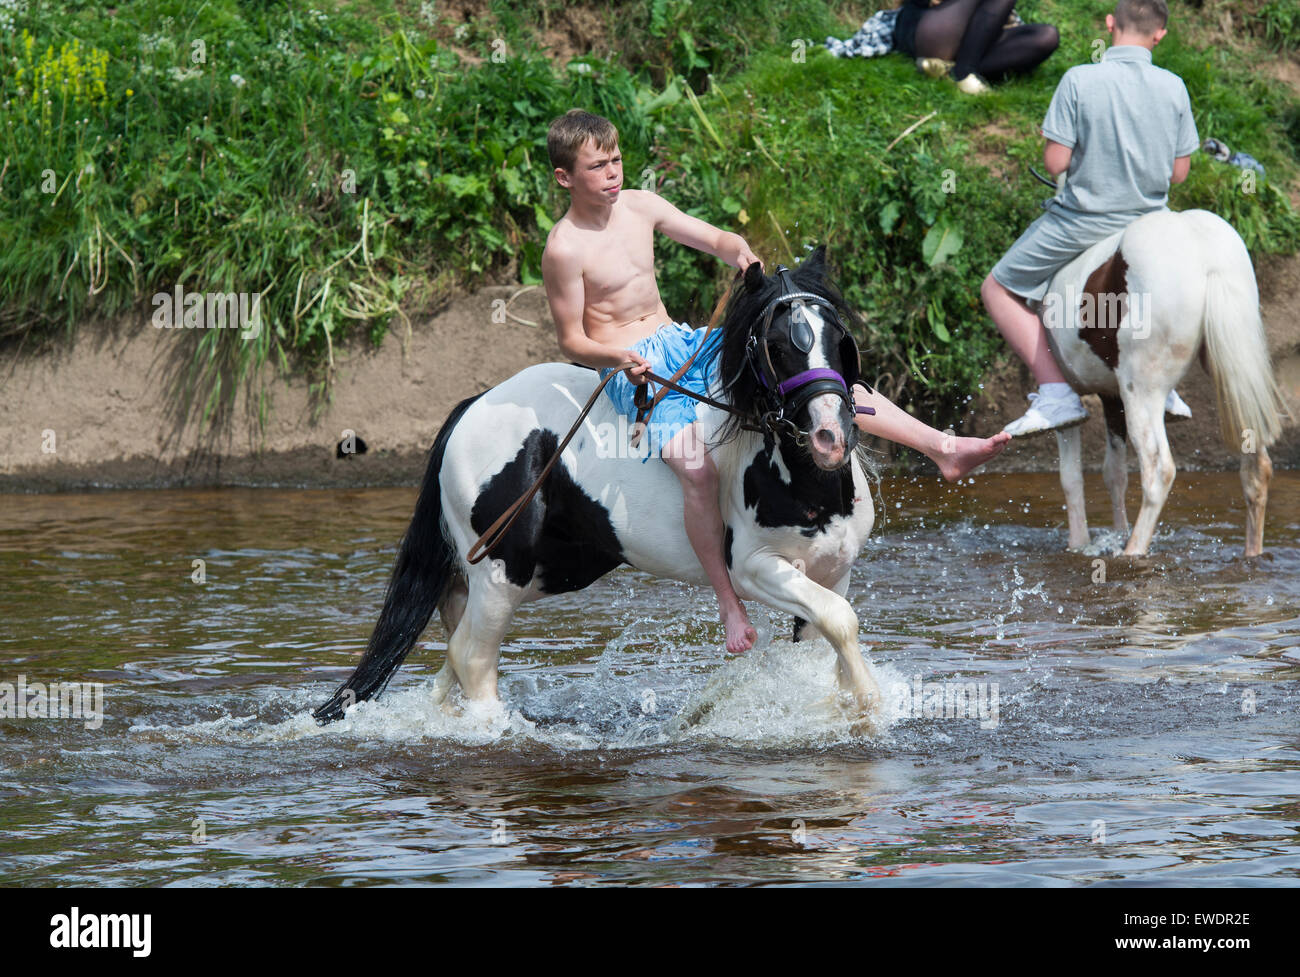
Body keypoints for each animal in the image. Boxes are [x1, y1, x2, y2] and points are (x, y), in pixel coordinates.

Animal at [313, 246, 884, 727]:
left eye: (838, 338)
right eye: (775, 346)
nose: (830, 435)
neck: (811, 488)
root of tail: (472, 407)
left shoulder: (832, 571)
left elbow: (823, 641)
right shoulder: (755, 568)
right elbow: (842, 621)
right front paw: (871, 706)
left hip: (547, 567)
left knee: (454, 632)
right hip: (503, 569)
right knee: (471, 655)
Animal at [1037, 208, 1289, 556]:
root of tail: (1206, 251)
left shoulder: (1077, 400)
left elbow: (1071, 477)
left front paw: (1080, 545)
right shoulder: (1111, 396)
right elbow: (1114, 474)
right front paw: (1115, 533)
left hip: (1142, 392)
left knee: (1159, 470)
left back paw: (1132, 551)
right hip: (1233, 377)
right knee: (1257, 467)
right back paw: (1252, 552)